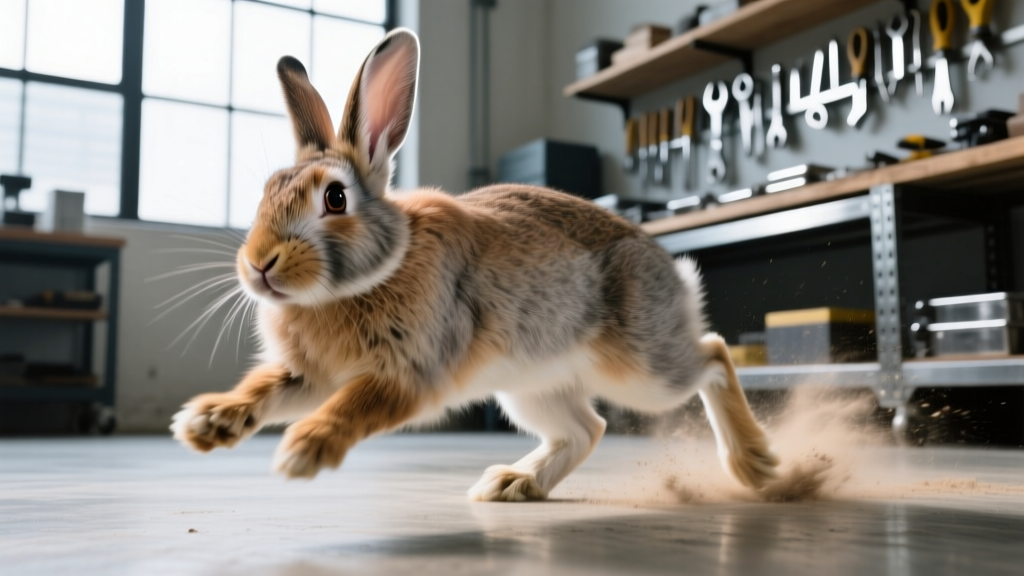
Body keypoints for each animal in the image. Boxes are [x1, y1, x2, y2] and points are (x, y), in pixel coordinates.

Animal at [170, 28, 779, 501]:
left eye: (336, 199)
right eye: (267, 192)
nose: (258, 264)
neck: (366, 277)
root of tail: (671, 273)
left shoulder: (410, 369)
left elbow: (355, 404)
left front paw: (305, 448)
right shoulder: (309, 374)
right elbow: (266, 389)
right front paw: (206, 423)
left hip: (641, 370)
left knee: (712, 356)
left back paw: (755, 465)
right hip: (531, 387)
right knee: (588, 427)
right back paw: (514, 484)